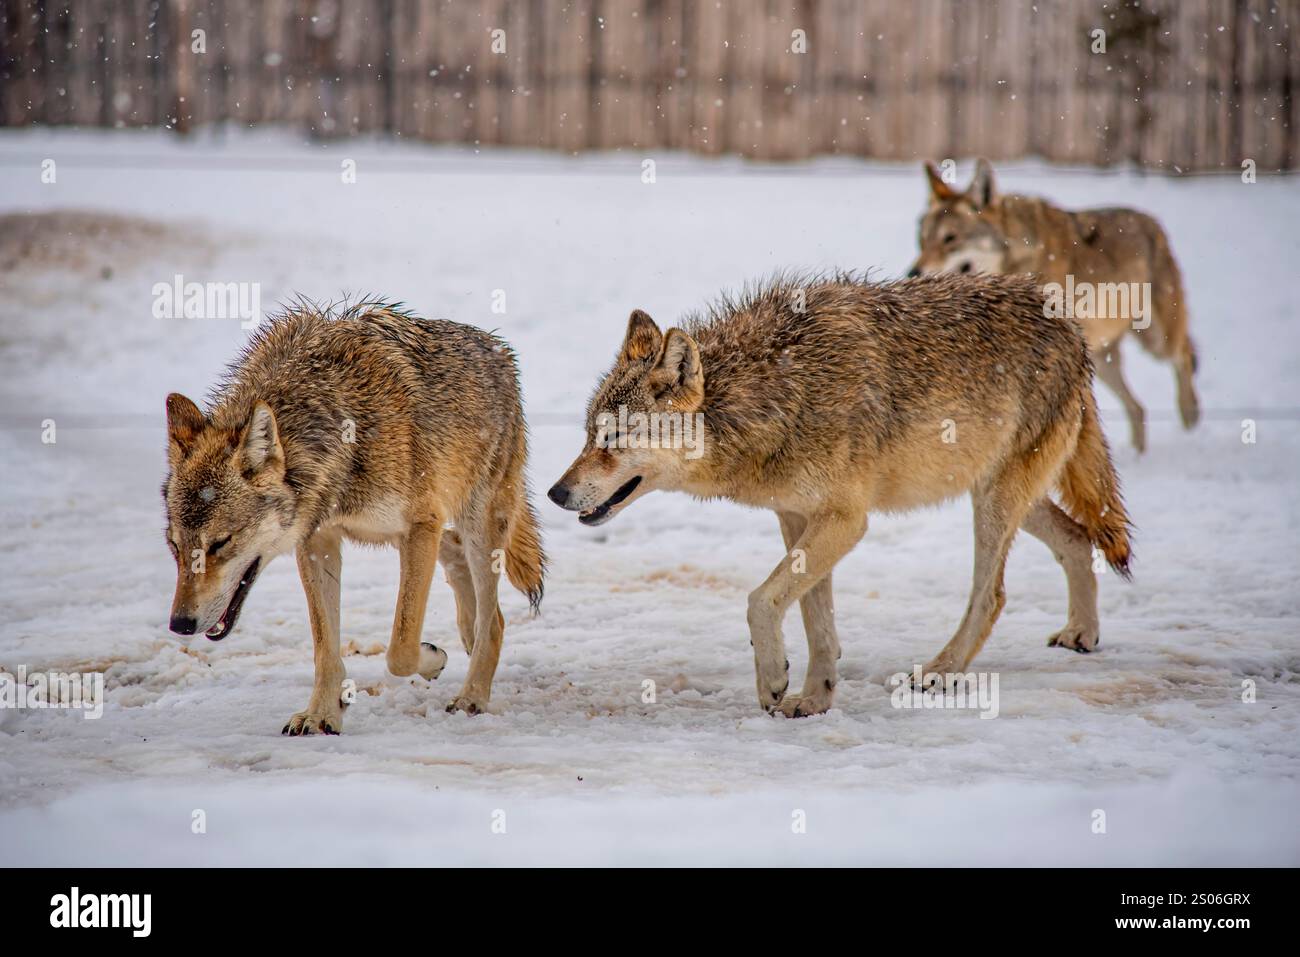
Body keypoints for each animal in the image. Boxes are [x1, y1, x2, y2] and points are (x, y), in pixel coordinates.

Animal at [163, 301, 545, 733]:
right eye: (174, 546)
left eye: (220, 543)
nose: (180, 624)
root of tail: (500, 351)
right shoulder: (318, 540)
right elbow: (325, 647)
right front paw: (321, 715)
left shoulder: (420, 525)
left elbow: (400, 648)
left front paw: (432, 658)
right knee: (457, 554)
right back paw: (467, 632)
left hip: (476, 521)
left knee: (494, 619)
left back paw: (472, 696)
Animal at [549, 273, 1131, 717]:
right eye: (588, 434)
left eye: (613, 440)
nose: (555, 492)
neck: (775, 394)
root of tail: (1070, 327)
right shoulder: (797, 516)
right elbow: (815, 620)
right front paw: (814, 699)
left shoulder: (847, 520)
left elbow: (761, 601)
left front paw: (773, 681)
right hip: (999, 496)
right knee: (1078, 538)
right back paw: (1082, 634)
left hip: (994, 502)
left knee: (992, 596)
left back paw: (941, 672)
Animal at [908, 159, 1200, 452]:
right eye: (922, 240)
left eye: (950, 239)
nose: (913, 272)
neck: (1017, 259)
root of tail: (1151, 221)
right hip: (1102, 357)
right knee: (1138, 408)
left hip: (1157, 342)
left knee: (1184, 355)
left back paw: (1191, 421)